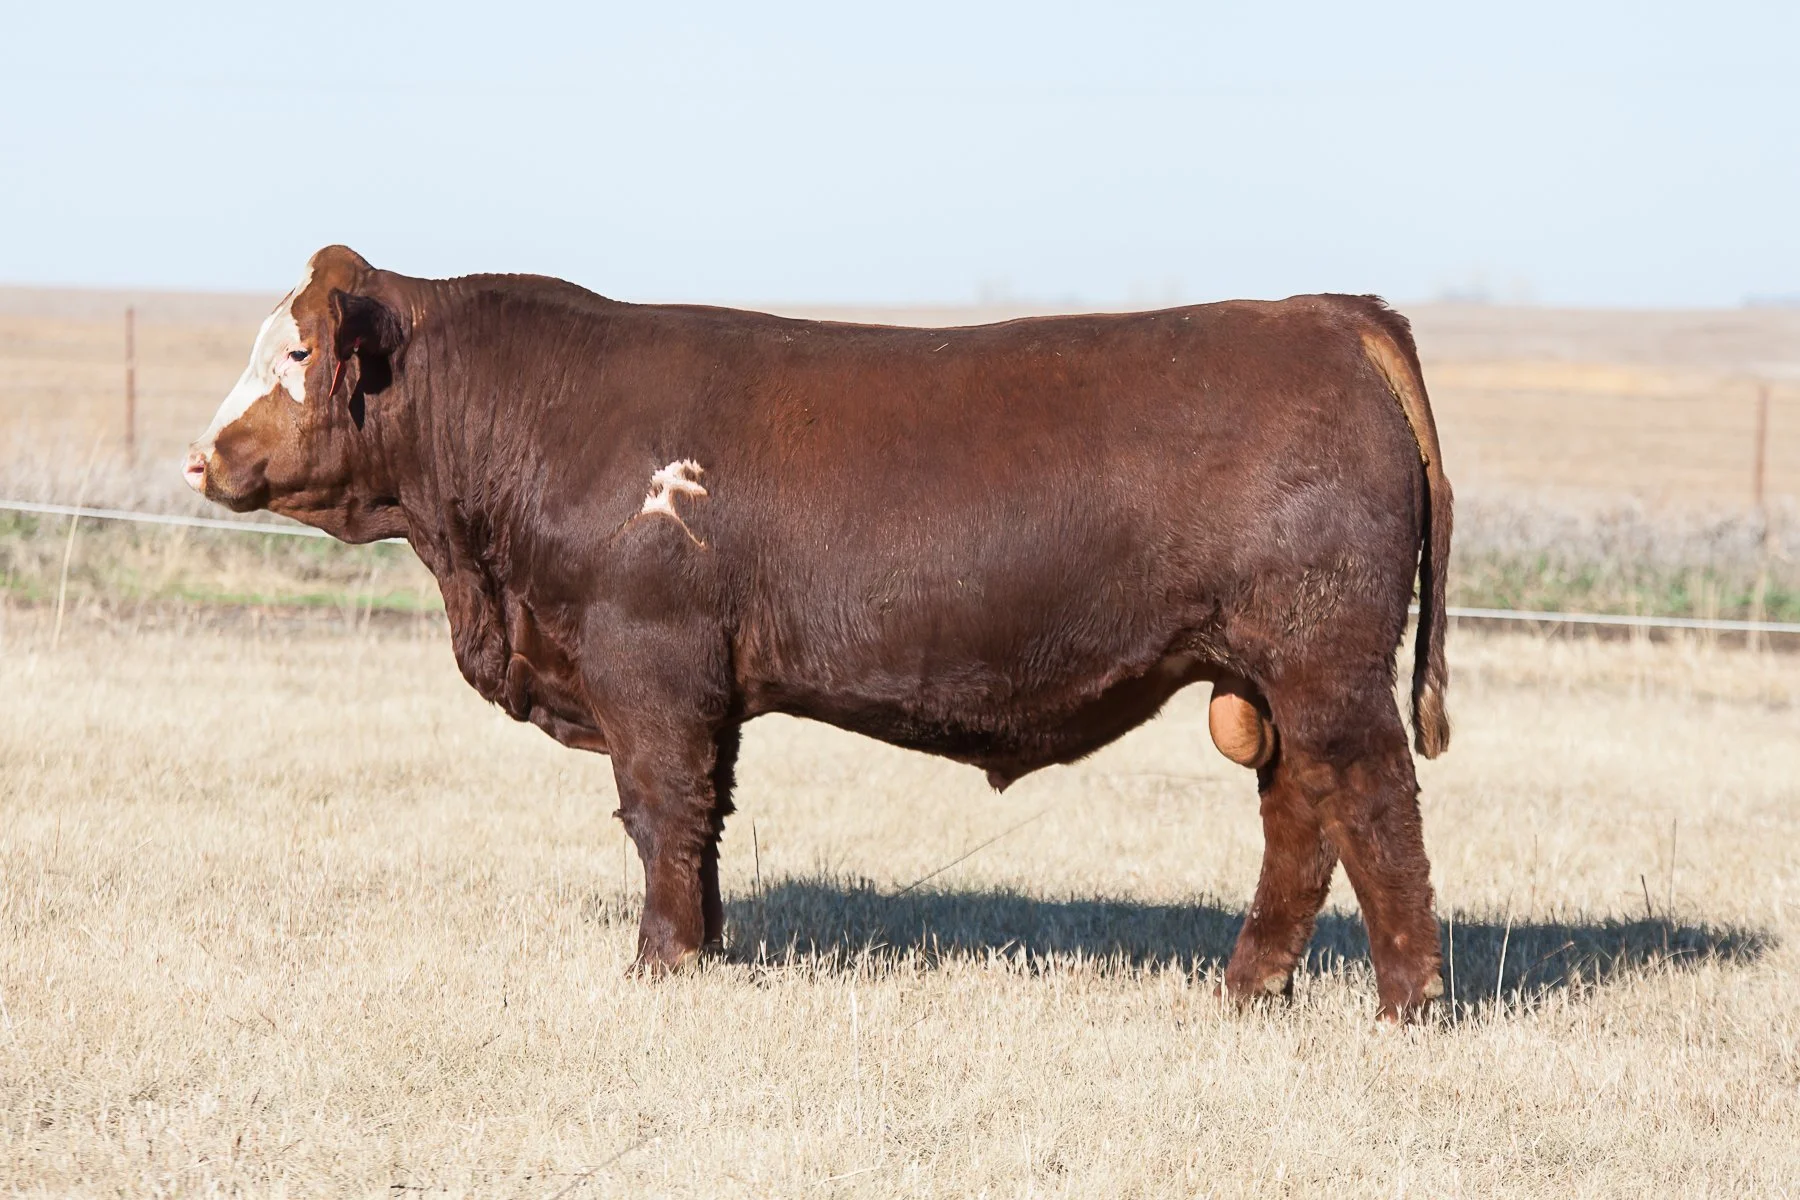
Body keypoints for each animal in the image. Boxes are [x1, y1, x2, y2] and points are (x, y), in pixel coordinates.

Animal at [185, 246, 1453, 1020]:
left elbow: (663, 811)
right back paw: (1249, 989)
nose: (202, 456)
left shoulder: (649, 662)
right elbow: (704, 822)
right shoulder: (707, 686)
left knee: (1376, 805)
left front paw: (662, 964)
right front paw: (708, 947)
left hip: (1329, 665)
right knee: (1300, 818)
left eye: (295, 352)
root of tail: (1322, 313)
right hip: (1271, 678)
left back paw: (1407, 1005)